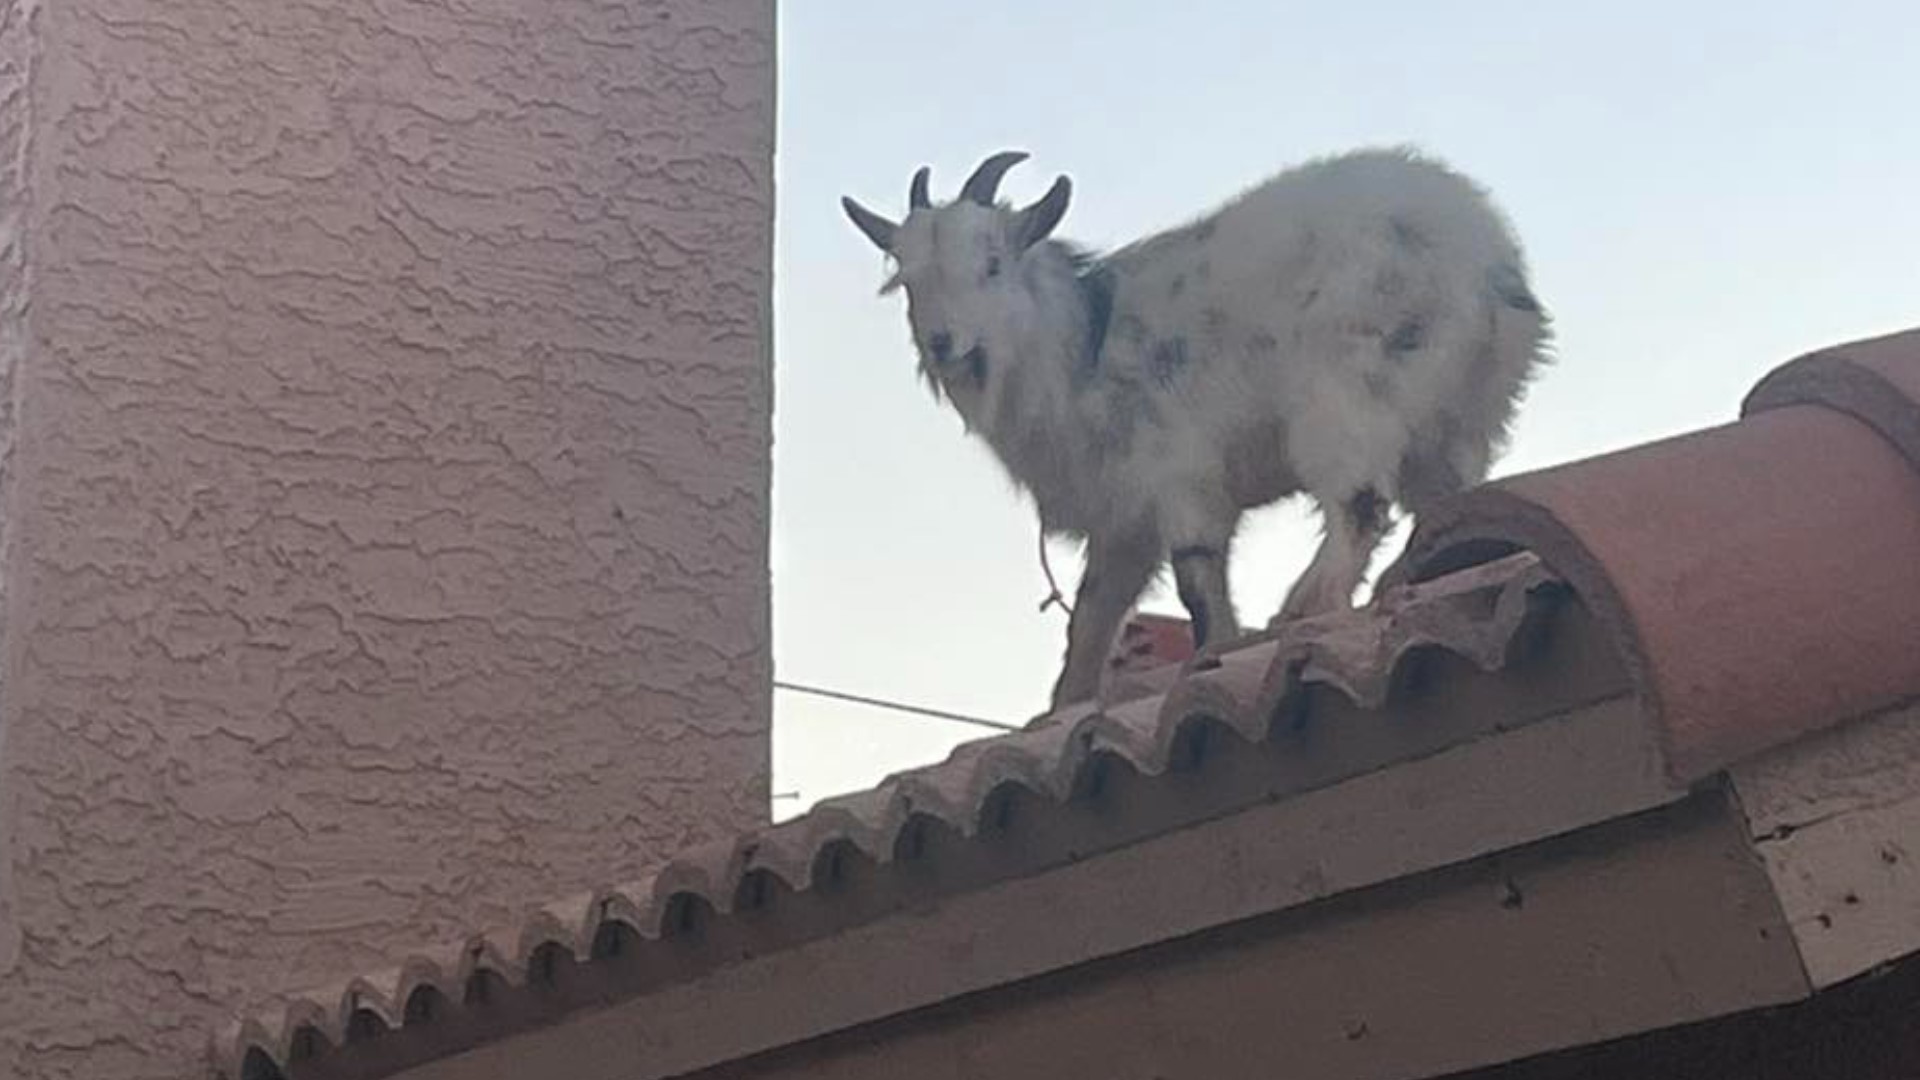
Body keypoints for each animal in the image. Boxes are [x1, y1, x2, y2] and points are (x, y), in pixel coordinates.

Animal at [841, 147, 1550, 714]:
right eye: (906, 279)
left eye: (992, 264)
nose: (943, 343)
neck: (1083, 347)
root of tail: (1487, 265)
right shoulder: (1122, 523)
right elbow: (1092, 615)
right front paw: (1065, 705)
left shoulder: (1180, 478)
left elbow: (1197, 583)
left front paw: (1220, 649)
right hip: (1457, 427)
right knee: (1442, 503)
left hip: (1349, 396)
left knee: (1358, 504)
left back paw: (1303, 605)